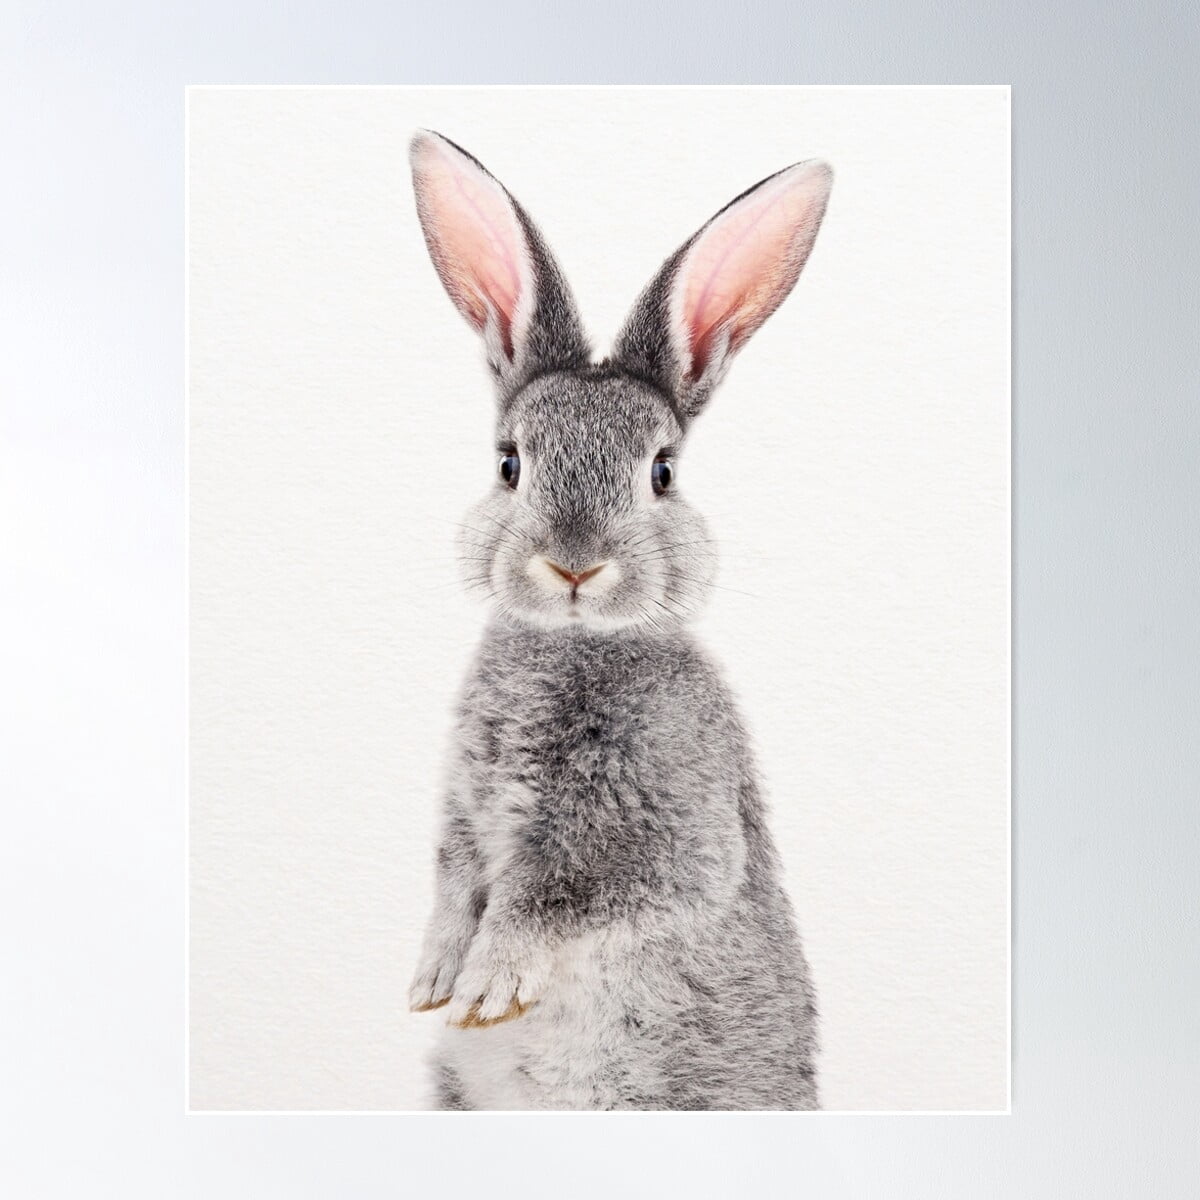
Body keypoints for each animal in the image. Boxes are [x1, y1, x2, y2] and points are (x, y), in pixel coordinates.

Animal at [406, 130, 832, 1110]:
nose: (573, 563)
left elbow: (557, 896)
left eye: (663, 472)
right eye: (509, 463)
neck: (568, 646)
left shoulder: (667, 837)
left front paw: (486, 984)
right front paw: (435, 978)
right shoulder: (461, 811)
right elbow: (454, 879)